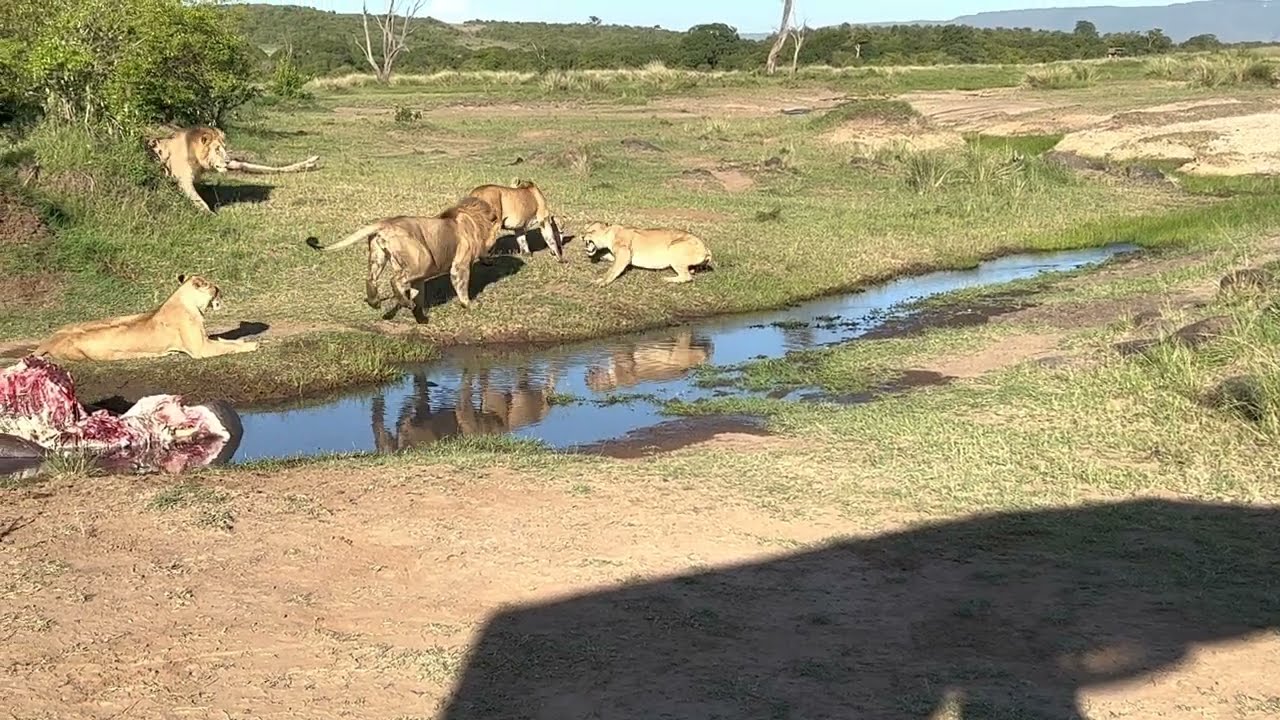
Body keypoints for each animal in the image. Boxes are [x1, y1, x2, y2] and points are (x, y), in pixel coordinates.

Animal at [32, 275, 259, 362]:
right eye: (215, 288)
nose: (222, 291)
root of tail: (49, 340)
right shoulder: (201, 350)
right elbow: (227, 348)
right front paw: (252, 345)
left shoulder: (205, 340)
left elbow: (227, 341)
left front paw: (243, 341)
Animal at [147, 125, 321, 214]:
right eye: (216, 150)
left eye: (224, 148)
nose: (227, 160)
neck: (196, 157)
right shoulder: (182, 180)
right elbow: (199, 201)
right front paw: (210, 214)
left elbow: (249, 165)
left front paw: (310, 163)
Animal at [305, 196, 501, 323]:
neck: (473, 218)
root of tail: (385, 223)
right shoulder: (459, 266)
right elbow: (462, 289)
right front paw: (469, 305)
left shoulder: (420, 279)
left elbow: (419, 294)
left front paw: (419, 314)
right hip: (423, 259)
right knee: (394, 280)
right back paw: (402, 302)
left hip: (379, 257)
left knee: (371, 279)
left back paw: (377, 302)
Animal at [579, 221, 713, 286]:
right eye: (584, 230)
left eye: (591, 231)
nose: (581, 236)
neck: (612, 233)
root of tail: (706, 248)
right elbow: (605, 255)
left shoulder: (624, 255)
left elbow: (612, 270)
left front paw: (602, 281)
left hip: (673, 248)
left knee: (687, 277)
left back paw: (667, 279)